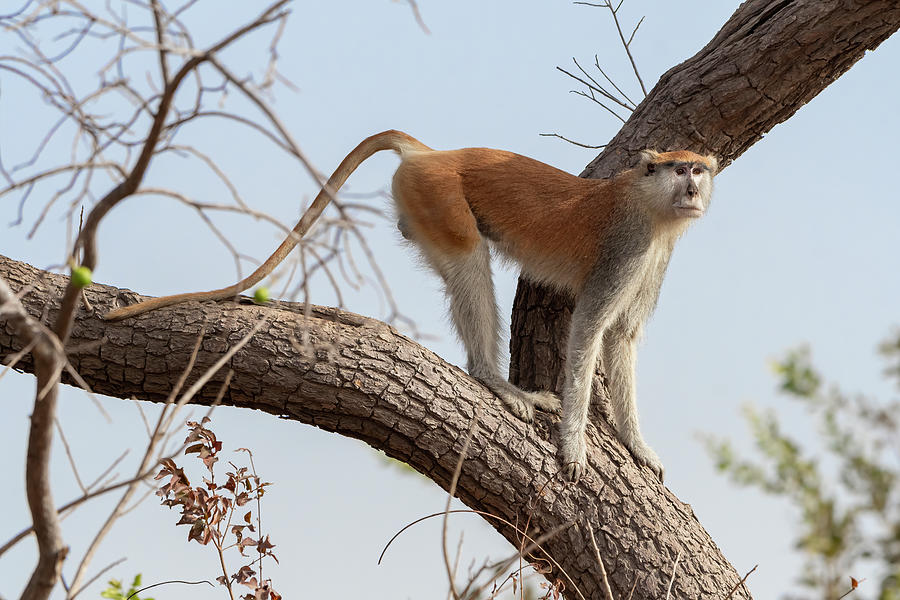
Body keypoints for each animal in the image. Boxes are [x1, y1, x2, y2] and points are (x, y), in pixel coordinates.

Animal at [104, 130, 717, 482]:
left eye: (700, 169)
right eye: (679, 169)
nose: (694, 189)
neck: (647, 202)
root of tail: (431, 154)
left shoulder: (654, 258)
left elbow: (622, 337)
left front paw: (637, 444)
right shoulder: (627, 247)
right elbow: (589, 326)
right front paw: (574, 445)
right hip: (436, 196)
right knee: (469, 259)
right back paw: (495, 382)